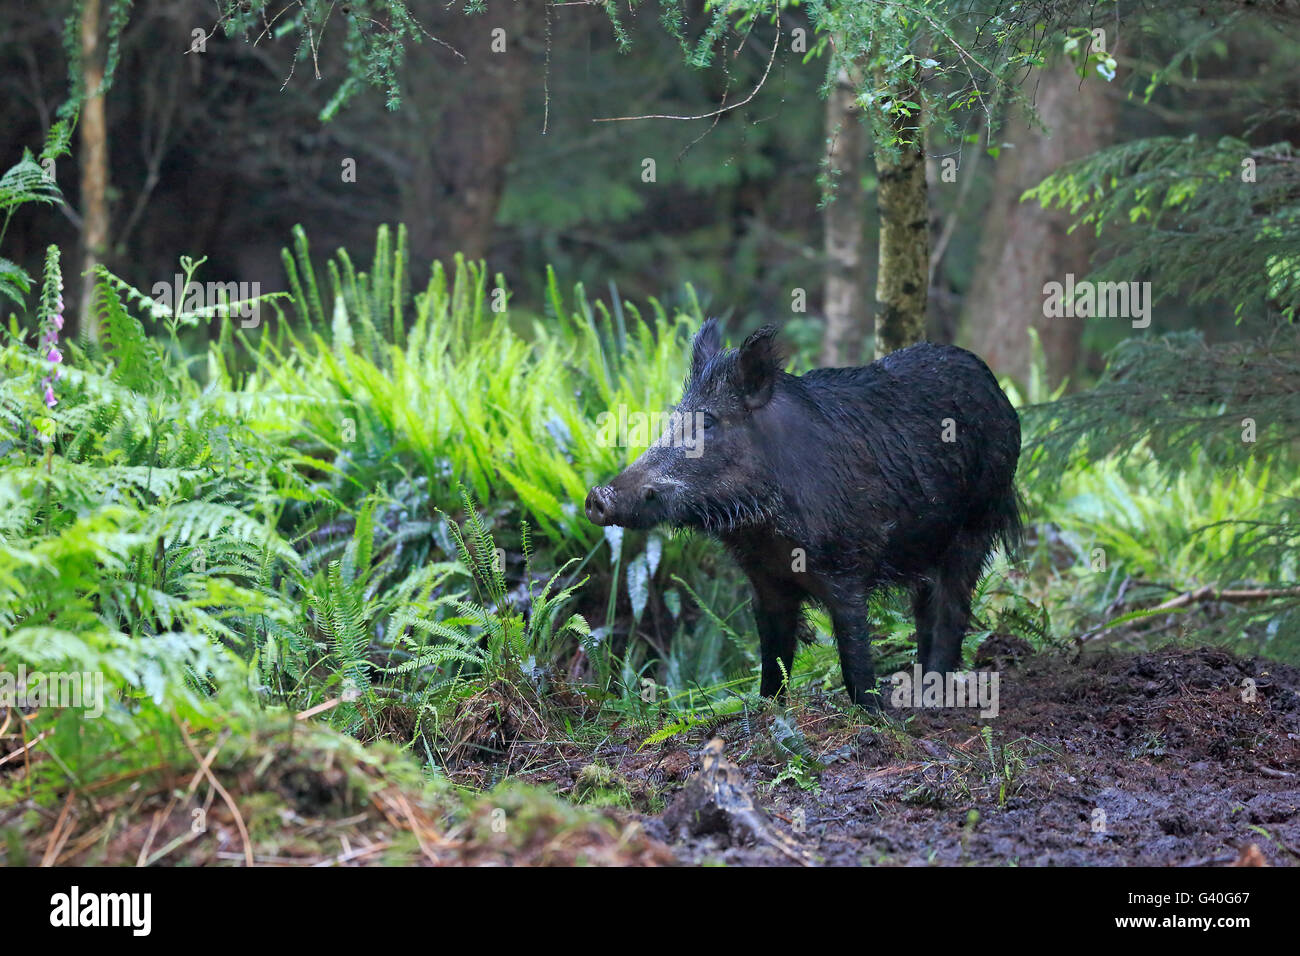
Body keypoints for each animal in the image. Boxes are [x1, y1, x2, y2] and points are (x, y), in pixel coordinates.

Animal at [585, 320, 1022, 708]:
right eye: (674, 415)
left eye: (708, 422)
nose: (597, 496)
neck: (763, 529)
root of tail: (999, 392)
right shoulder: (765, 581)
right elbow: (773, 657)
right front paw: (767, 708)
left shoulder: (847, 566)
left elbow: (854, 657)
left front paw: (876, 716)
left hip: (977, 522)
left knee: (952, 608)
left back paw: (929, 700)